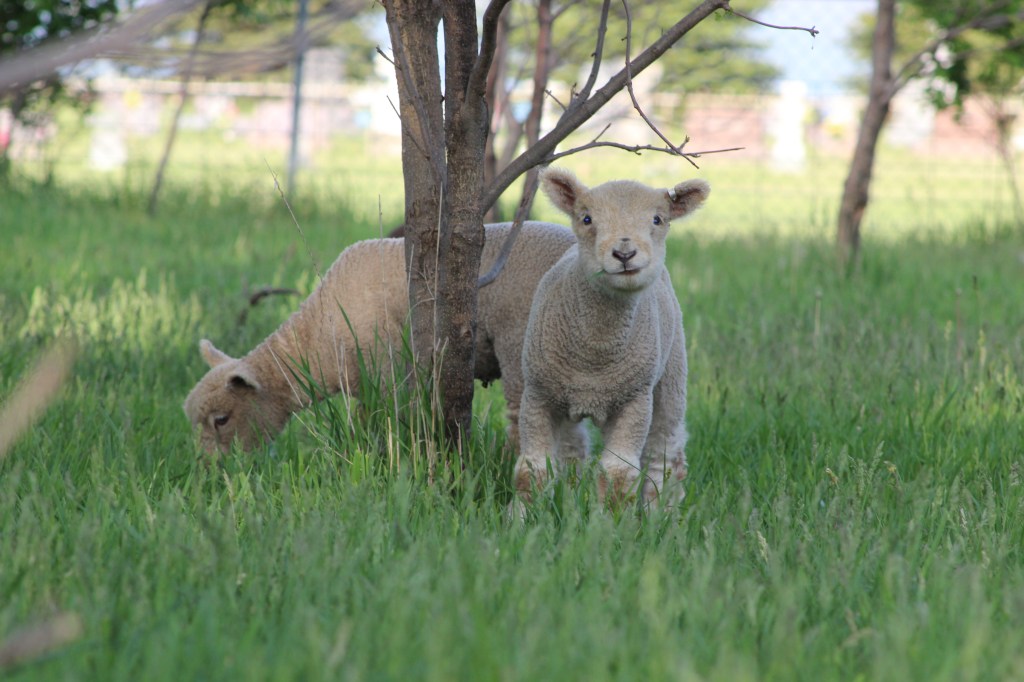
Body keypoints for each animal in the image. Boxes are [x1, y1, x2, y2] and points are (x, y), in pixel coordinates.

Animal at [183, 221, 578, 454]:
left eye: (222, 419)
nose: (210, 474)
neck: (317, 338)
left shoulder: (386, 371)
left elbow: (383, 425)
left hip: (522, 344)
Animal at [513, 168, 710, 507]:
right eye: (586, 218)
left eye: (658, 219)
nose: (624, 253)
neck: (596, 356)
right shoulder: (538, 393)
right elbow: (532, 471)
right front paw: (521, 518)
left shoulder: (633, 400)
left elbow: (618, 475)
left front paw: (609, 521)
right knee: (572, 452)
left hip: (671, 377)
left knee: (664, 455)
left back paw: (662, 511)